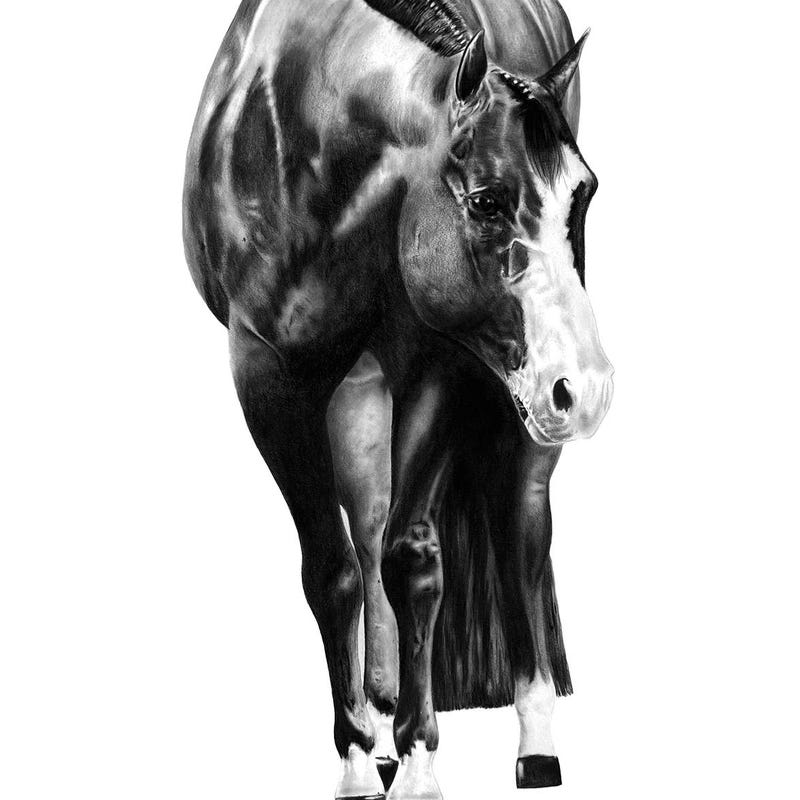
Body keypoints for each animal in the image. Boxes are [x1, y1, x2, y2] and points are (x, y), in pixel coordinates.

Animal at [183, 0, 613, 796]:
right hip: (364, 389)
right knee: (369, 519)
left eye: (585, 194)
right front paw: (361, 756)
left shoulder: (439, 362)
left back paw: (534, 741)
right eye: (486, 201)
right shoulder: (267, 377)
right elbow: (334, 571)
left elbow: (411, 560)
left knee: (519, 521)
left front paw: (418, 761)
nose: (590, 389)